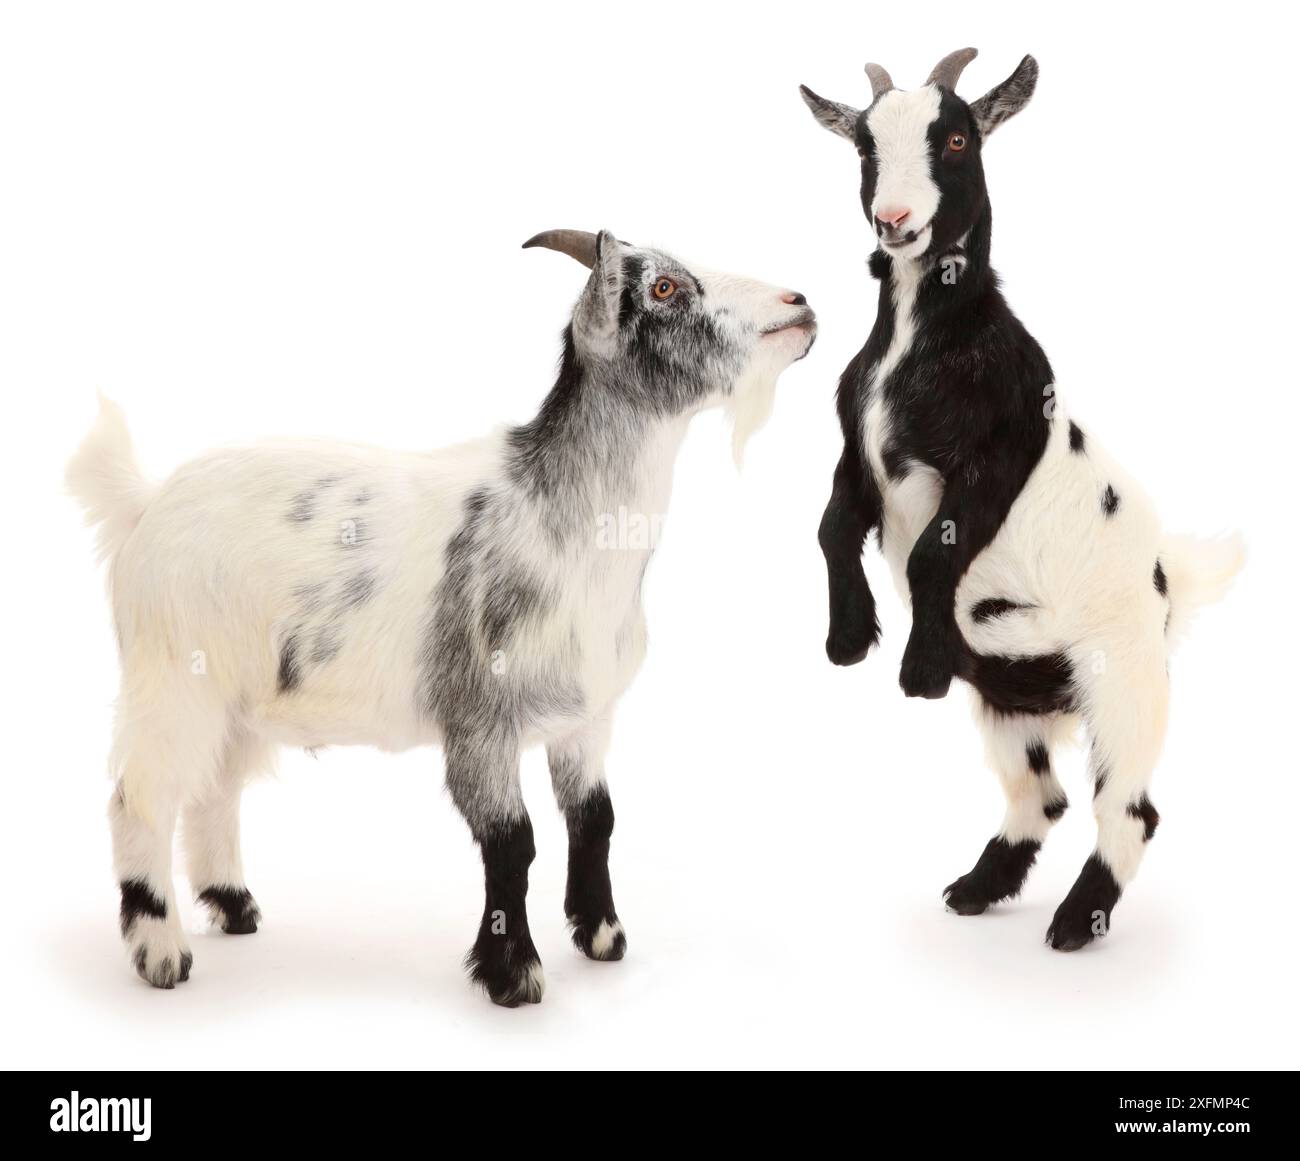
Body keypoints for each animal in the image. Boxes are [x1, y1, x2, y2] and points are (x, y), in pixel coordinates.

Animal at [67, 229, 816, 1004]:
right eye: (663, 288)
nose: (800, 304)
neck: (564, 523)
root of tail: (144, 504)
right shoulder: (480, 721)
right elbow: (513, 841)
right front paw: (513, 973)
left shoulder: (585, 718)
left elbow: (594, 818)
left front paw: (602, 935)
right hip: (172, 677)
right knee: (141, 798)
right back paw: (161, 950)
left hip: (239, 699)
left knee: (214, 790)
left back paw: (234, 904)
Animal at [801, 50, 1243, 950]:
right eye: (865, 143)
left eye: (958, 138)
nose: (895, 220)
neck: (920, 342)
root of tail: (1171, 589)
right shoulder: (857, 450)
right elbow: (830, 527)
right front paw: (850, 637)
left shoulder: (997, 451)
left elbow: (932, 548)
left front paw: (920, 667)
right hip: (1009, 708)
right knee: (1042, 795)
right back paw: (978, 886)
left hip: (1127, 686)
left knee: (1130, 809)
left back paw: (1078, 919)